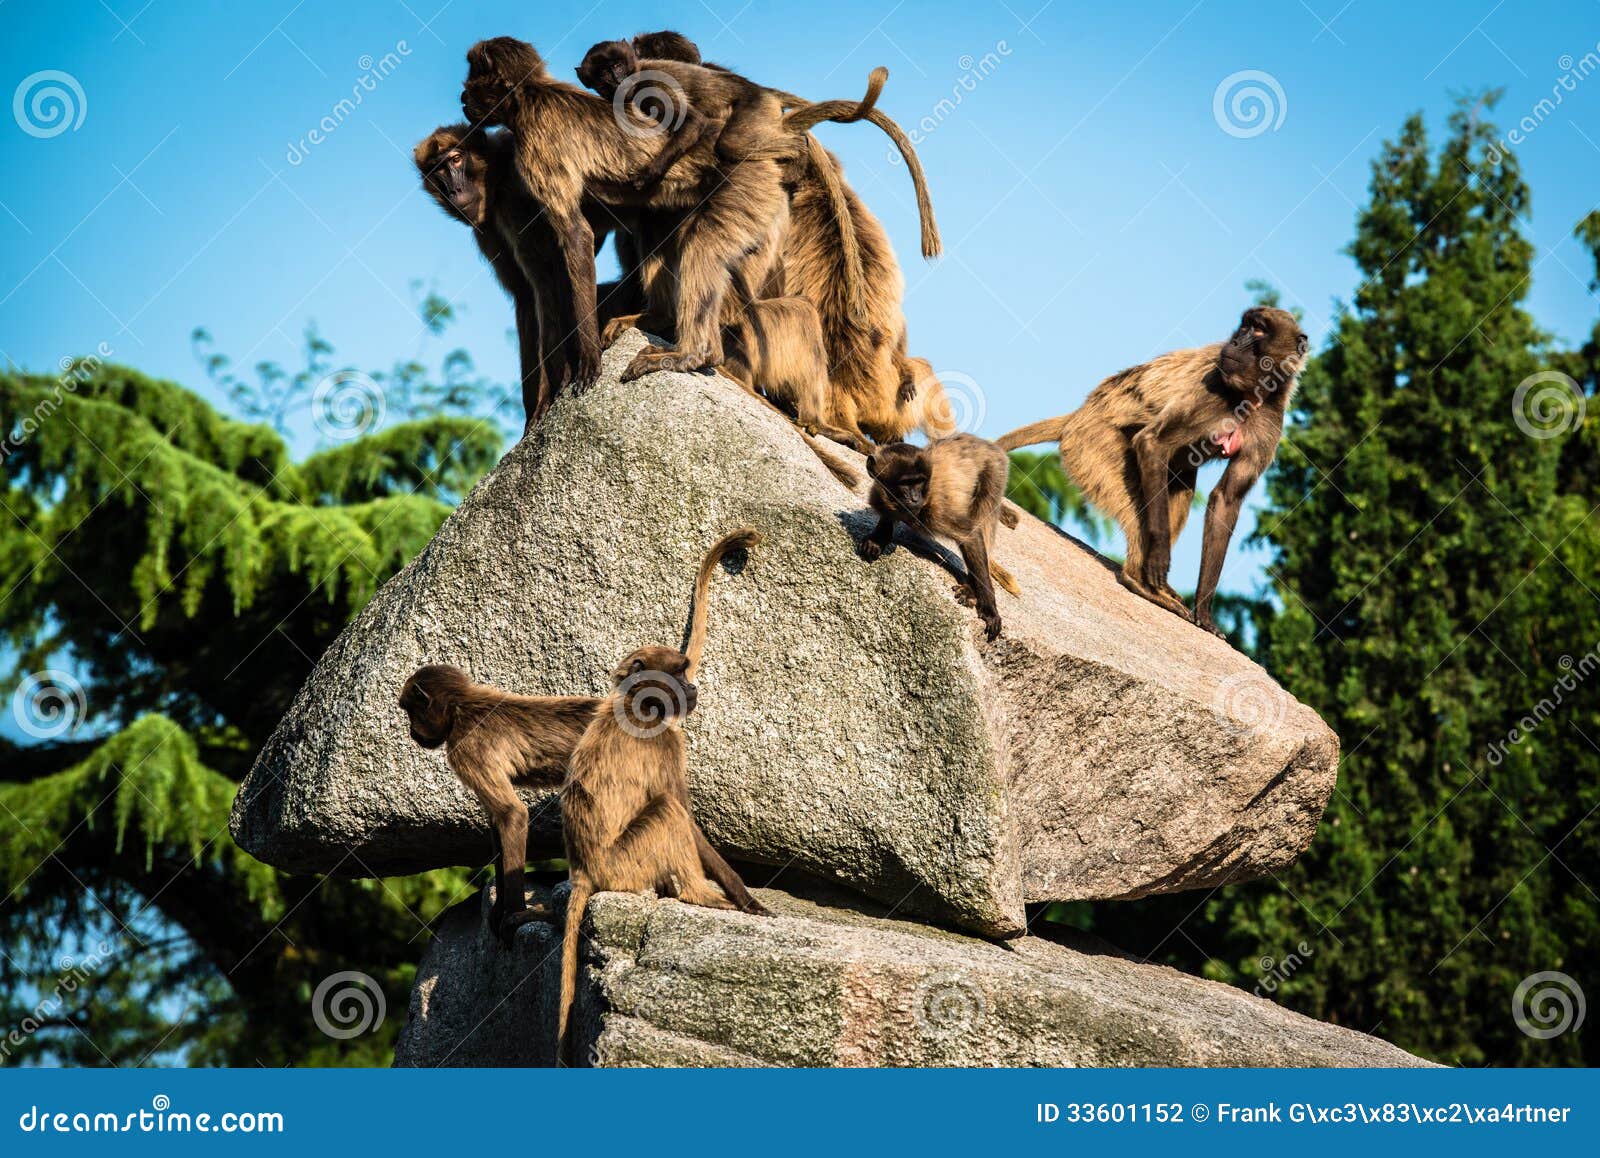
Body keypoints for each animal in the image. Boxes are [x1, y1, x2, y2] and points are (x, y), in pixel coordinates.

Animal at [398, 663, 768, 948]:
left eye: (410, 711)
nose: (412, 732)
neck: (463, 706)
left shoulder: (466, 748)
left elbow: (512, 816)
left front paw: (513, 916)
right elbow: (498, 824)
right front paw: (500, 908)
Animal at [556, 528, 765, 1064]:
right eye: (681, 673)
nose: (694, 690)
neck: (635, 703)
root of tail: (584, 869)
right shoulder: (667, 742)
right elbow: (684, 814)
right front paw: (746, 898)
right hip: (623, 866)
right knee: (667, 812)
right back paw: (700, 895)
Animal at [858, 435, 1020, 641]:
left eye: (919, 482)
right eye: (905, 483)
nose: (915, 498)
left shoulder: (938, 509)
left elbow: (971, 536)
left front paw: (990, 611)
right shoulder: (880, 496)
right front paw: (877, 540)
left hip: (995, 467)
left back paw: (972, 591)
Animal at [995, 306, 1309, 637]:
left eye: (1258, 330)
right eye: (1244, 327)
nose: (1234, 342)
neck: (1251, 396)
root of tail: (1077, 417)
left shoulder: (1270, 426)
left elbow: (1226, 500)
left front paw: (1204, 613)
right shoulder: (1214, 393)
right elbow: (1152, 444)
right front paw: (1158, 559)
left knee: (1182, 485)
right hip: (1092, 445)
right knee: (1139, 500)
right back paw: (1139, 579)